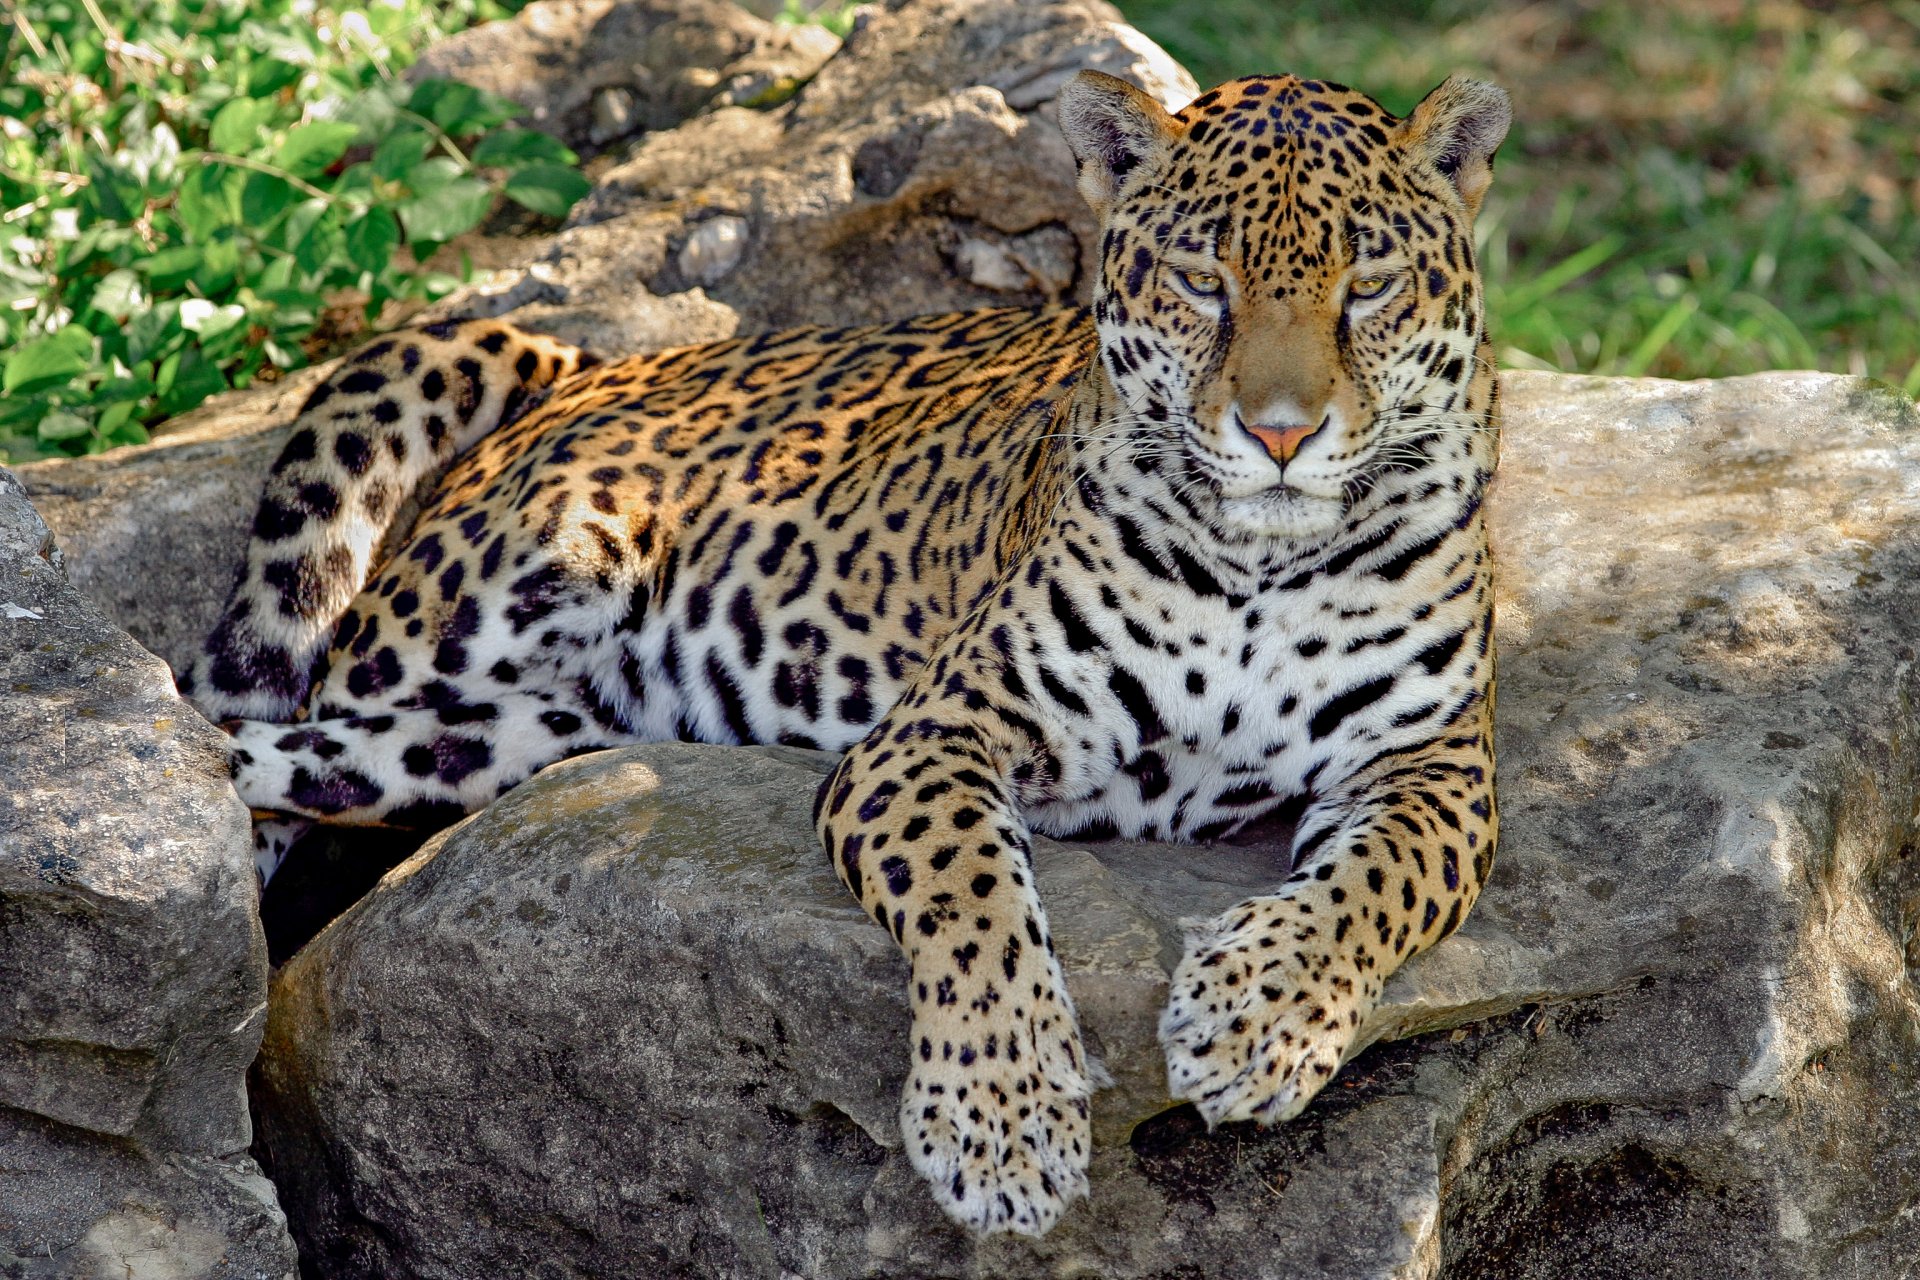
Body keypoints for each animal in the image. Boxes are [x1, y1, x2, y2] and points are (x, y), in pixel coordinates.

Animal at [186, 69, 1509, 1237]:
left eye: (1369, 284)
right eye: (1202, 280)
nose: (1281, 433)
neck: (1258, 568)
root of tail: (603, 357)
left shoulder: (1439, 770)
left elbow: (1373, 885)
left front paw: (1254, 1025)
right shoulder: (933, 734)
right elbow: (976, 896)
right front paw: (1003, 1126)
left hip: (495, 741)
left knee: (273, 755)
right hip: (471, 610)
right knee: (260, 735)